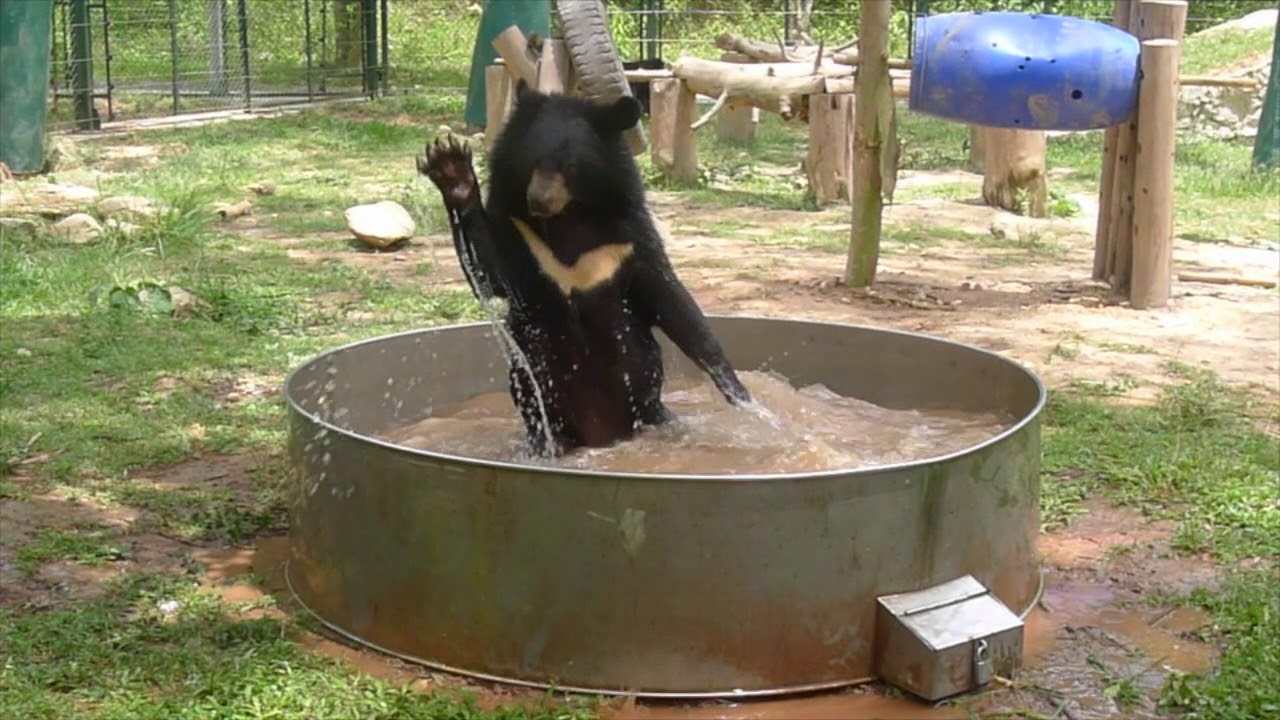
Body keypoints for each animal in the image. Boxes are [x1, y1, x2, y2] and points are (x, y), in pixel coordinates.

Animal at [417, 80, 751, 457]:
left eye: (570, 166)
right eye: (532, 161)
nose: (539, 201)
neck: (568, 216)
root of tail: (601, 433)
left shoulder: (628, 239)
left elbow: (673, 303)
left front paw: (742, 399)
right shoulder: (519, 232)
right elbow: (493, 275)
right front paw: (450, 169)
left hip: (648, 408)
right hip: (548, 414)